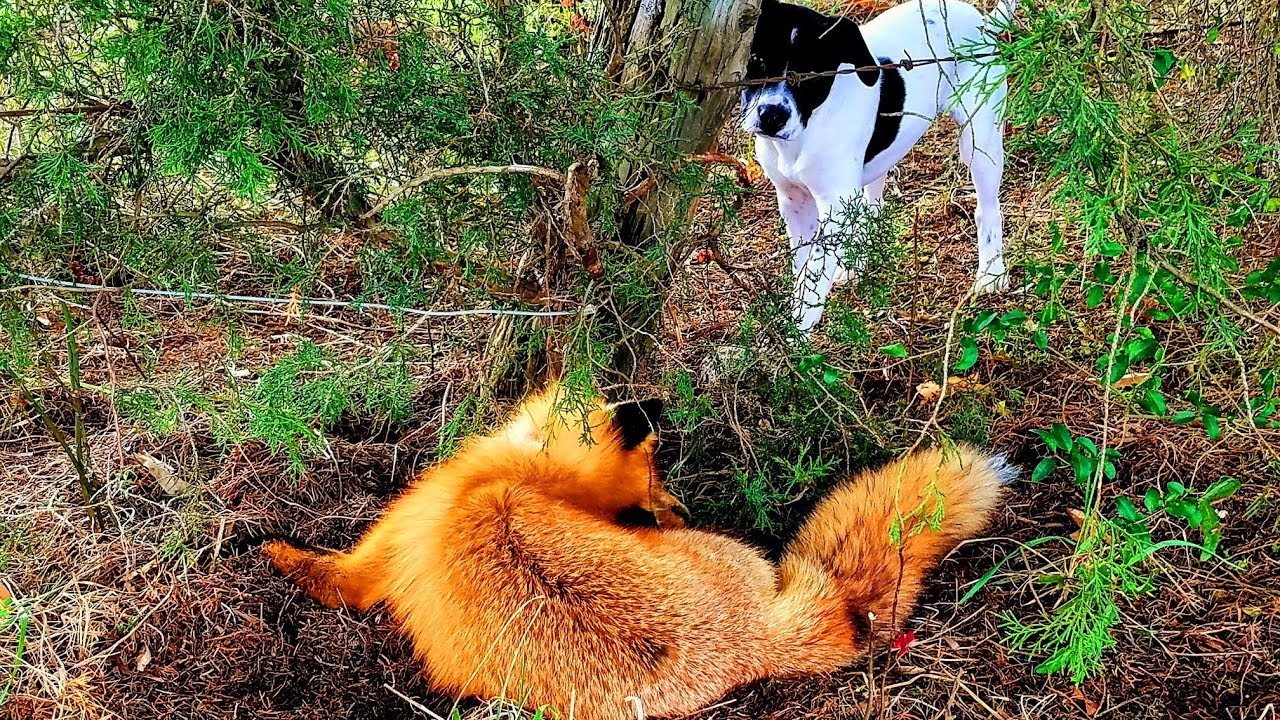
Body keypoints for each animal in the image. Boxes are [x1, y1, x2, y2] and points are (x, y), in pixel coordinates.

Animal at [264, 387, 1012, 720]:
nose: (676, 511)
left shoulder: (391, 543)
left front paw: (279, 555)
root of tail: (758, 641)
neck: (526, 478)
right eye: (658, 477)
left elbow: (338, 580)